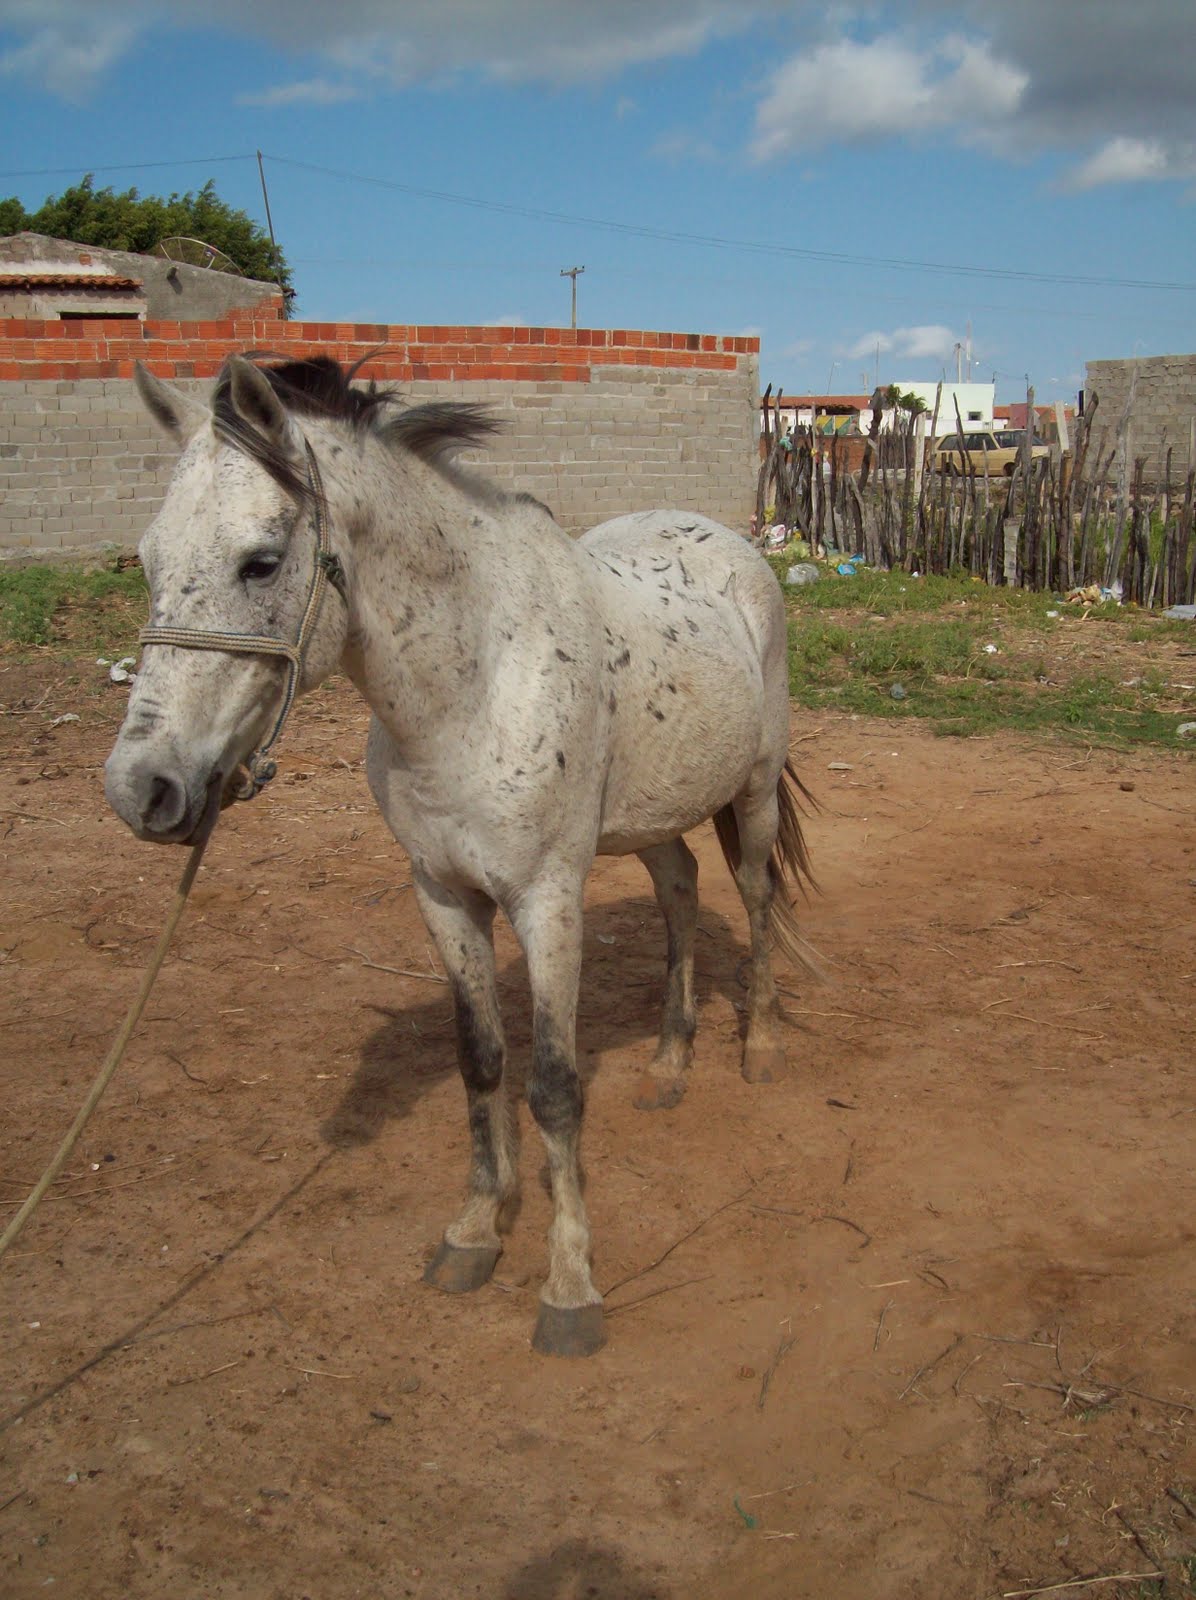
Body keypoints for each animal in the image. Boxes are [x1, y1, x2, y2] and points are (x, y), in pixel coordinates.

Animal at [104, 353, 816, 1357]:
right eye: (149, 561)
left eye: (261, 562)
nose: (142, 788)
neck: (477, 681)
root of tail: (733, 543)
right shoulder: (442, 895)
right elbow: (482, 1062)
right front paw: (476, 1234)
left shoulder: (547, 900)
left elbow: (553, 1086)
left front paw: (569, 1287)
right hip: (652, 815)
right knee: (680, 892)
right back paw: (670, 1066)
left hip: (751, 791)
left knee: (753, 898)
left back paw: (759, 1047)